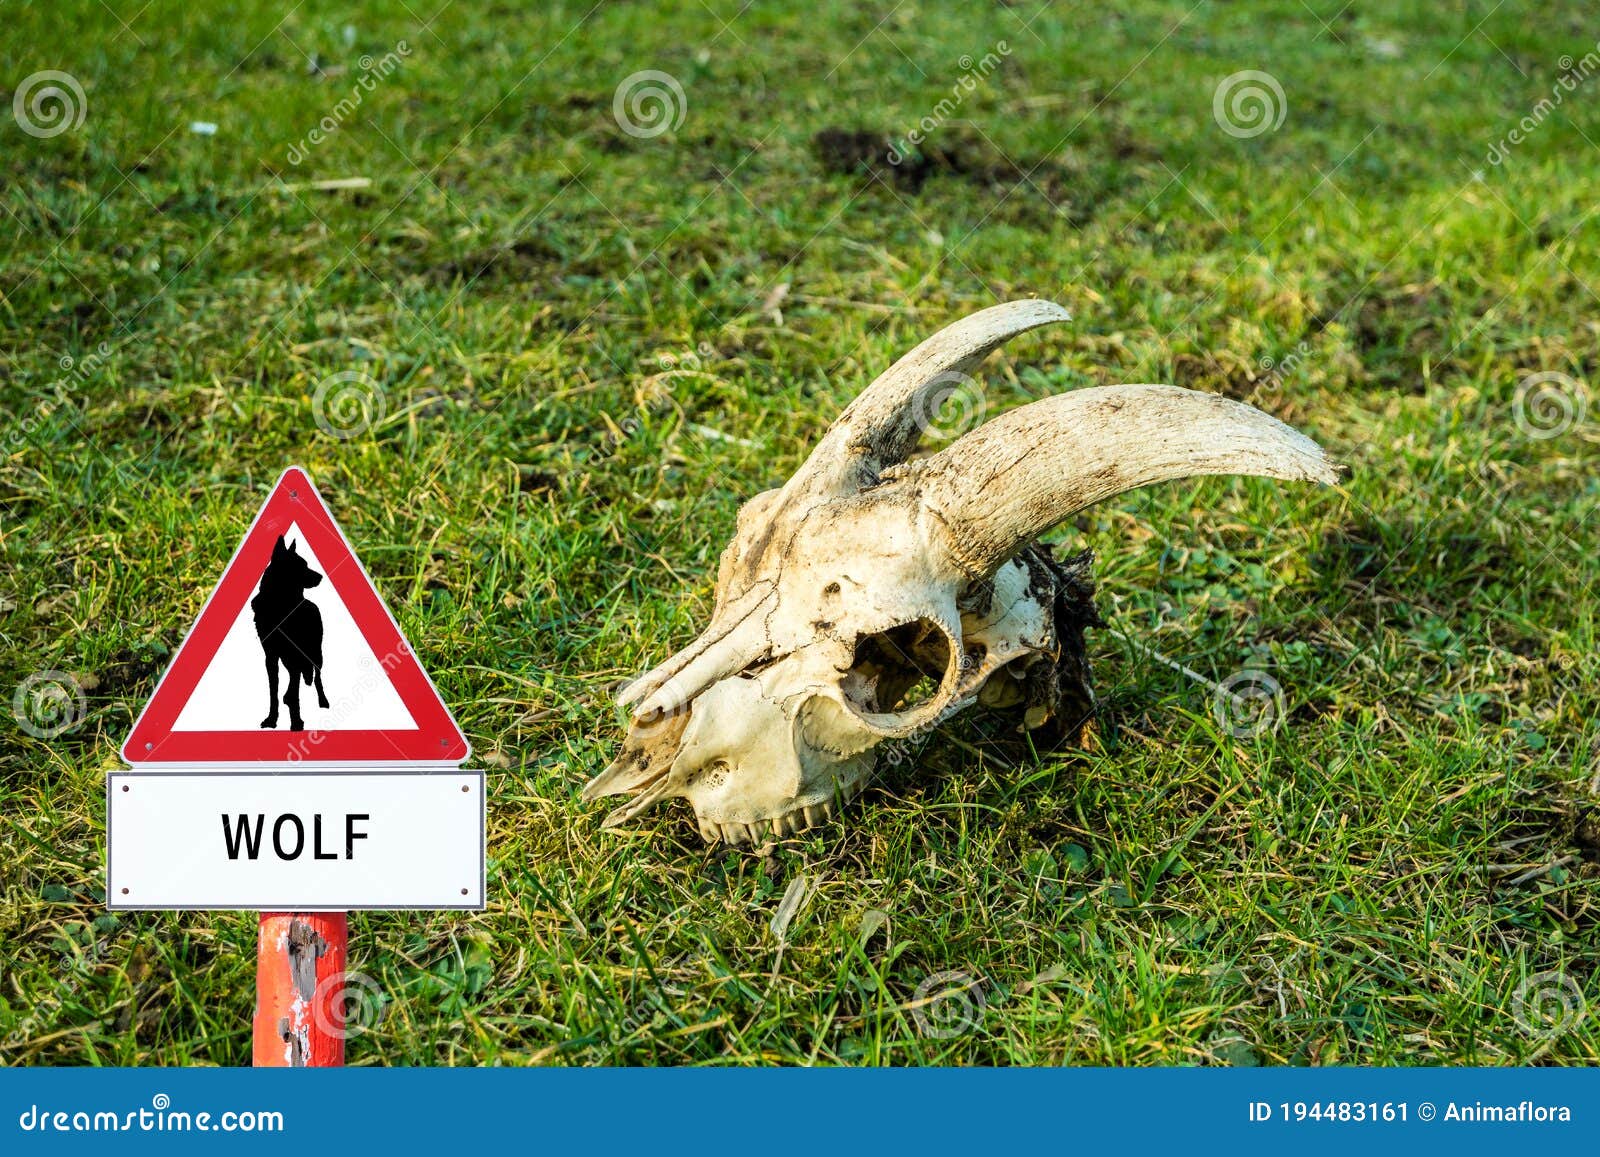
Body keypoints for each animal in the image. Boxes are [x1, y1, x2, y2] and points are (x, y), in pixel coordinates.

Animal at [252, 534, 330, 731]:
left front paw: (296, 723)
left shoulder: (295, 654)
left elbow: (295, 690)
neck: (281, 604)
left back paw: (323, 701)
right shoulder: (271, 657)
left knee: (316, 678)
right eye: (301, 566)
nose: (321, 577)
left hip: (316, 653)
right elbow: (274, 691)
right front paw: (272, 719)